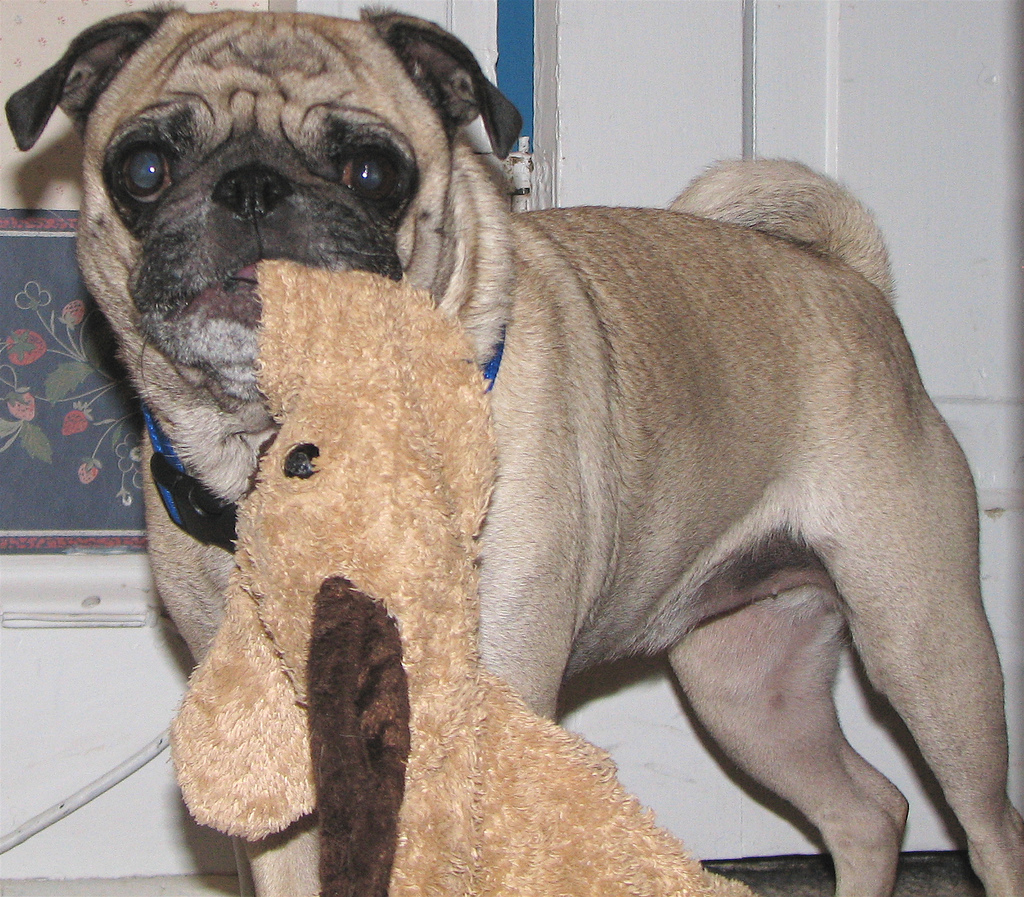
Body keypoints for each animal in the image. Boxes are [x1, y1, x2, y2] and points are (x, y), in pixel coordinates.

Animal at [8, 7, 1024, 897]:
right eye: (145, 166)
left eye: (372, 171)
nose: (252, 187)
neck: (289, 437)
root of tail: (852, 281)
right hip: (748, 687)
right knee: (869, 809)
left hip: (924, 649)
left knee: (987, 826)